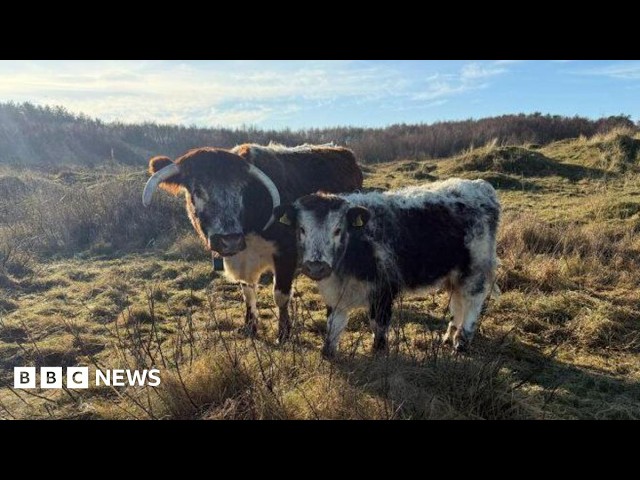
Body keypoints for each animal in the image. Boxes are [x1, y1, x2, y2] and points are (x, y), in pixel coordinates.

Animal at [142, 143, 363, 343]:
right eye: (197, 190)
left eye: (242, 189)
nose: (230, 240)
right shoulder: (242, 260)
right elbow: (248, 292)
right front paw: (250, 327)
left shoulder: (286, 255)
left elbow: (280, 295)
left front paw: (283, 334)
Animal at [273, 178, 500, 357]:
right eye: (301, 229)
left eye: (337, 230)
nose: (316, 267)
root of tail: (480, 186)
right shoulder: (336, 294)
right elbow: (333, 325)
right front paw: (328, 352)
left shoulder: (384, 290)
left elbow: (378, 325)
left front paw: (379, 352)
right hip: (454, 274)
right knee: (457, 302)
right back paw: (449, 335)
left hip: (475, 269)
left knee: (472, 300)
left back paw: (461, 341)